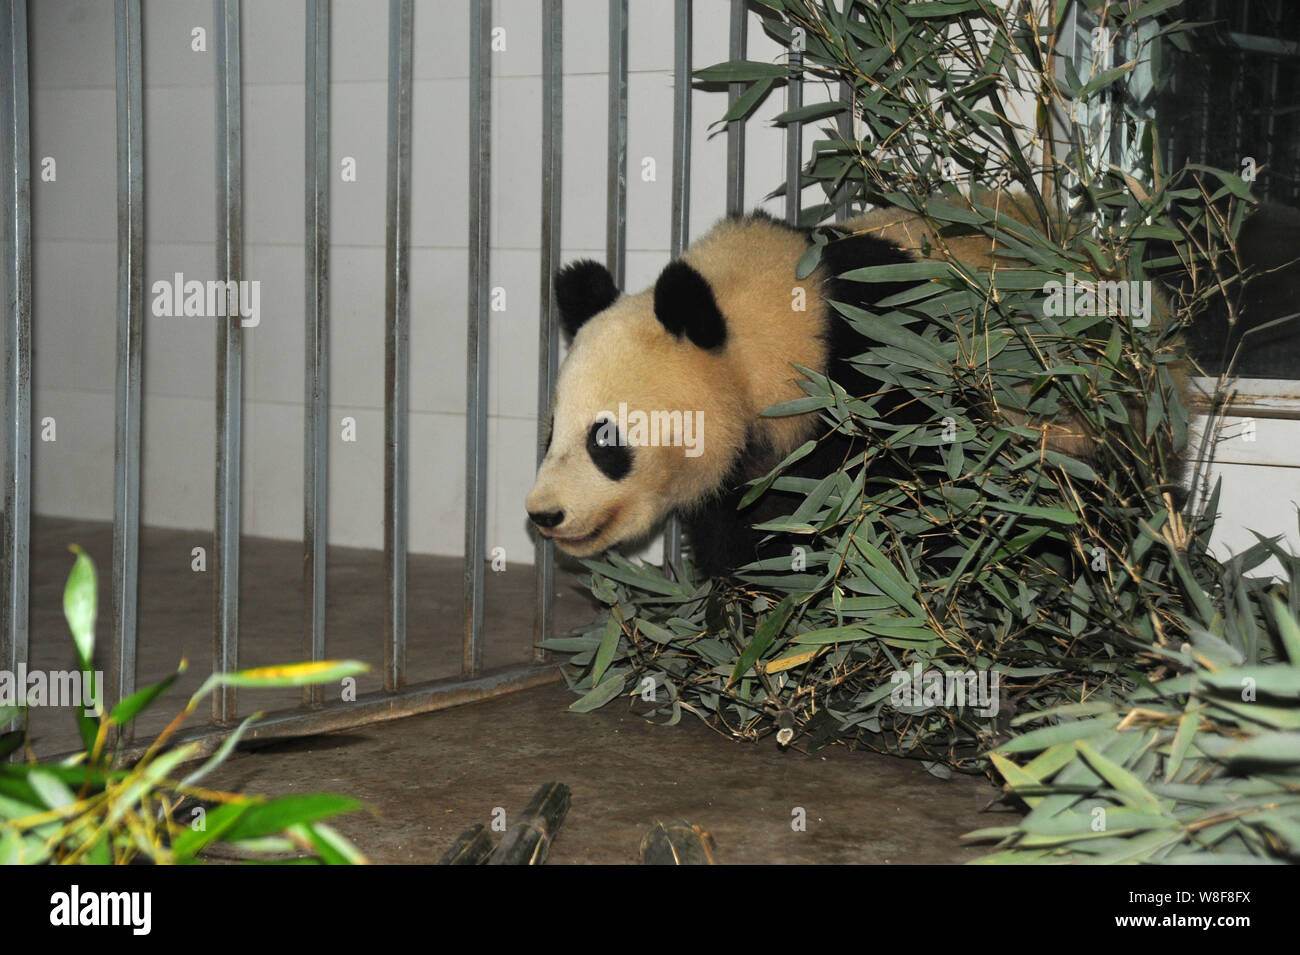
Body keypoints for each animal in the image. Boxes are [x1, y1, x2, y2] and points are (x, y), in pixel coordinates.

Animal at [525, 204, 1107, 578]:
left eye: (605, 440)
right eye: (550, 434)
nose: (544, 513)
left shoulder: (889, 370)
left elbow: (923, 496)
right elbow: (740, 522)